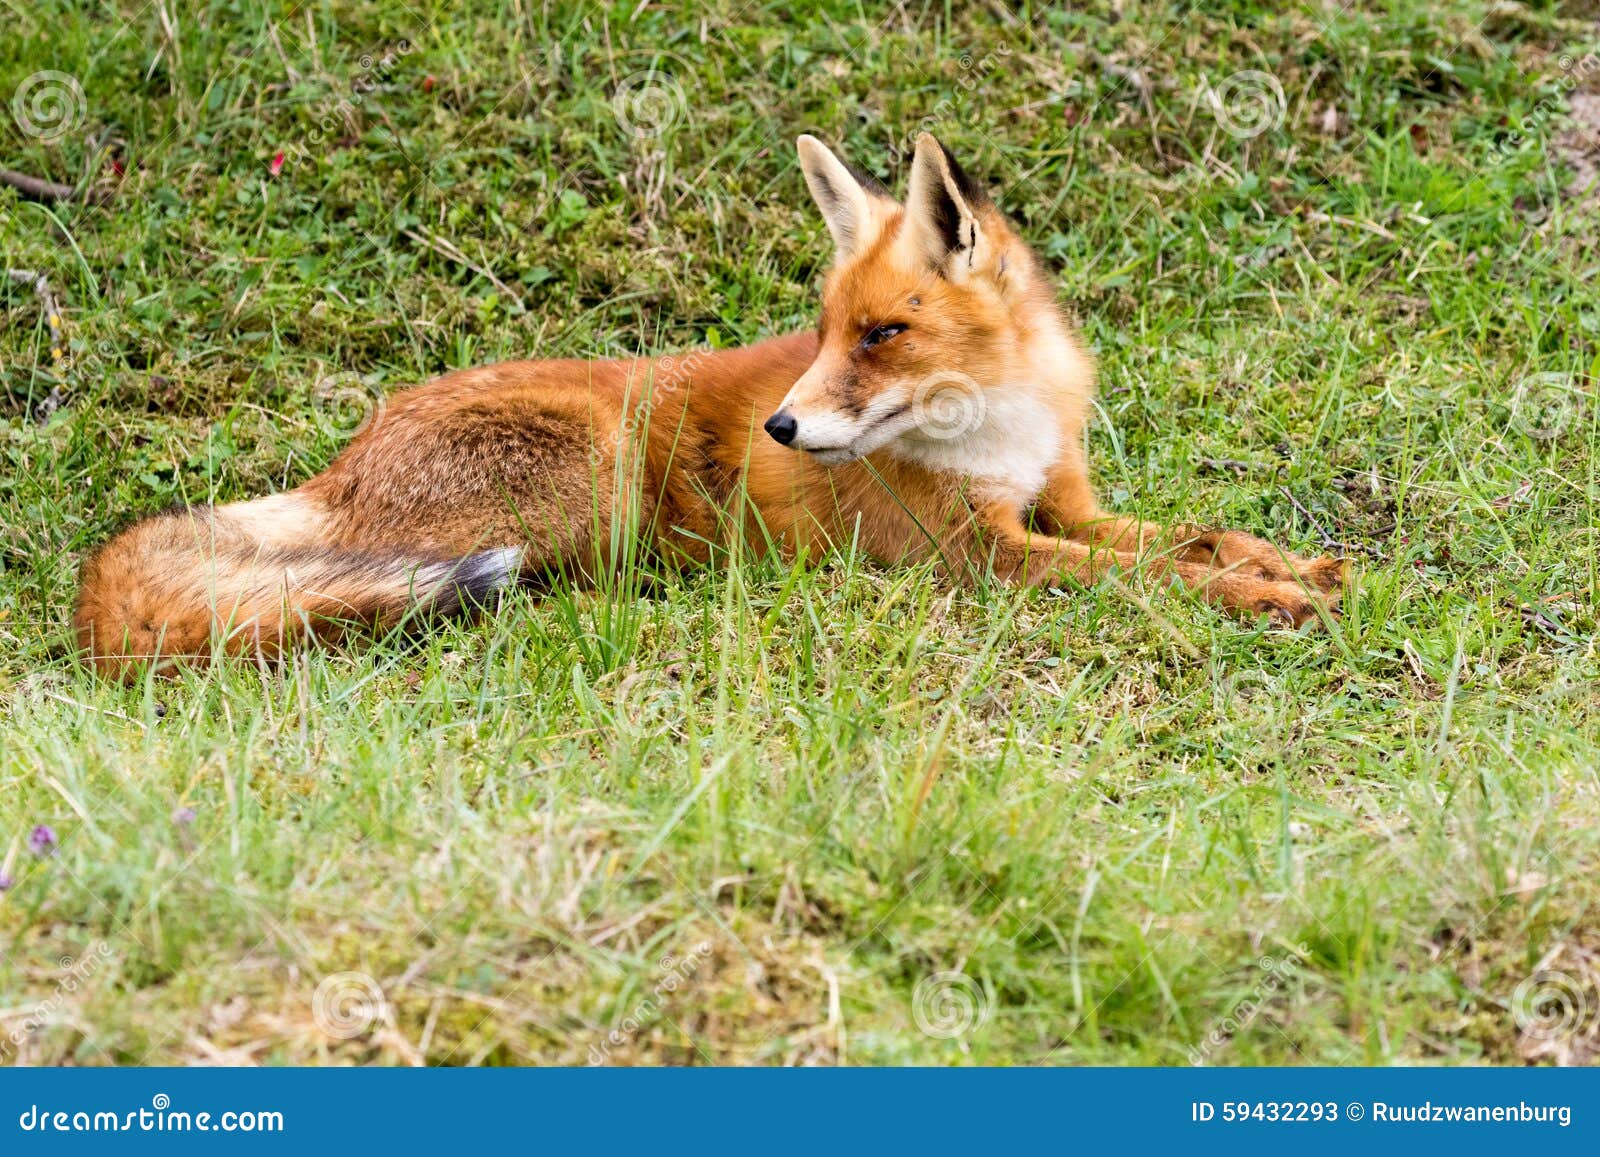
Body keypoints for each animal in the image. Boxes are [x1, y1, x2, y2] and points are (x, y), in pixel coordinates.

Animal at [73, 133, 1345, 680]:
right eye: (824, 331)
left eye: (879, 334)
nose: (781, 428)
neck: (996, 428)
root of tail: (343, 465)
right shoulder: (979, 557)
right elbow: (1153, 577)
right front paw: (1265, 598)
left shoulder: (1061, 503)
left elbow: (1185, 536)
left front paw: (1291, 563)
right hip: (592, 477)